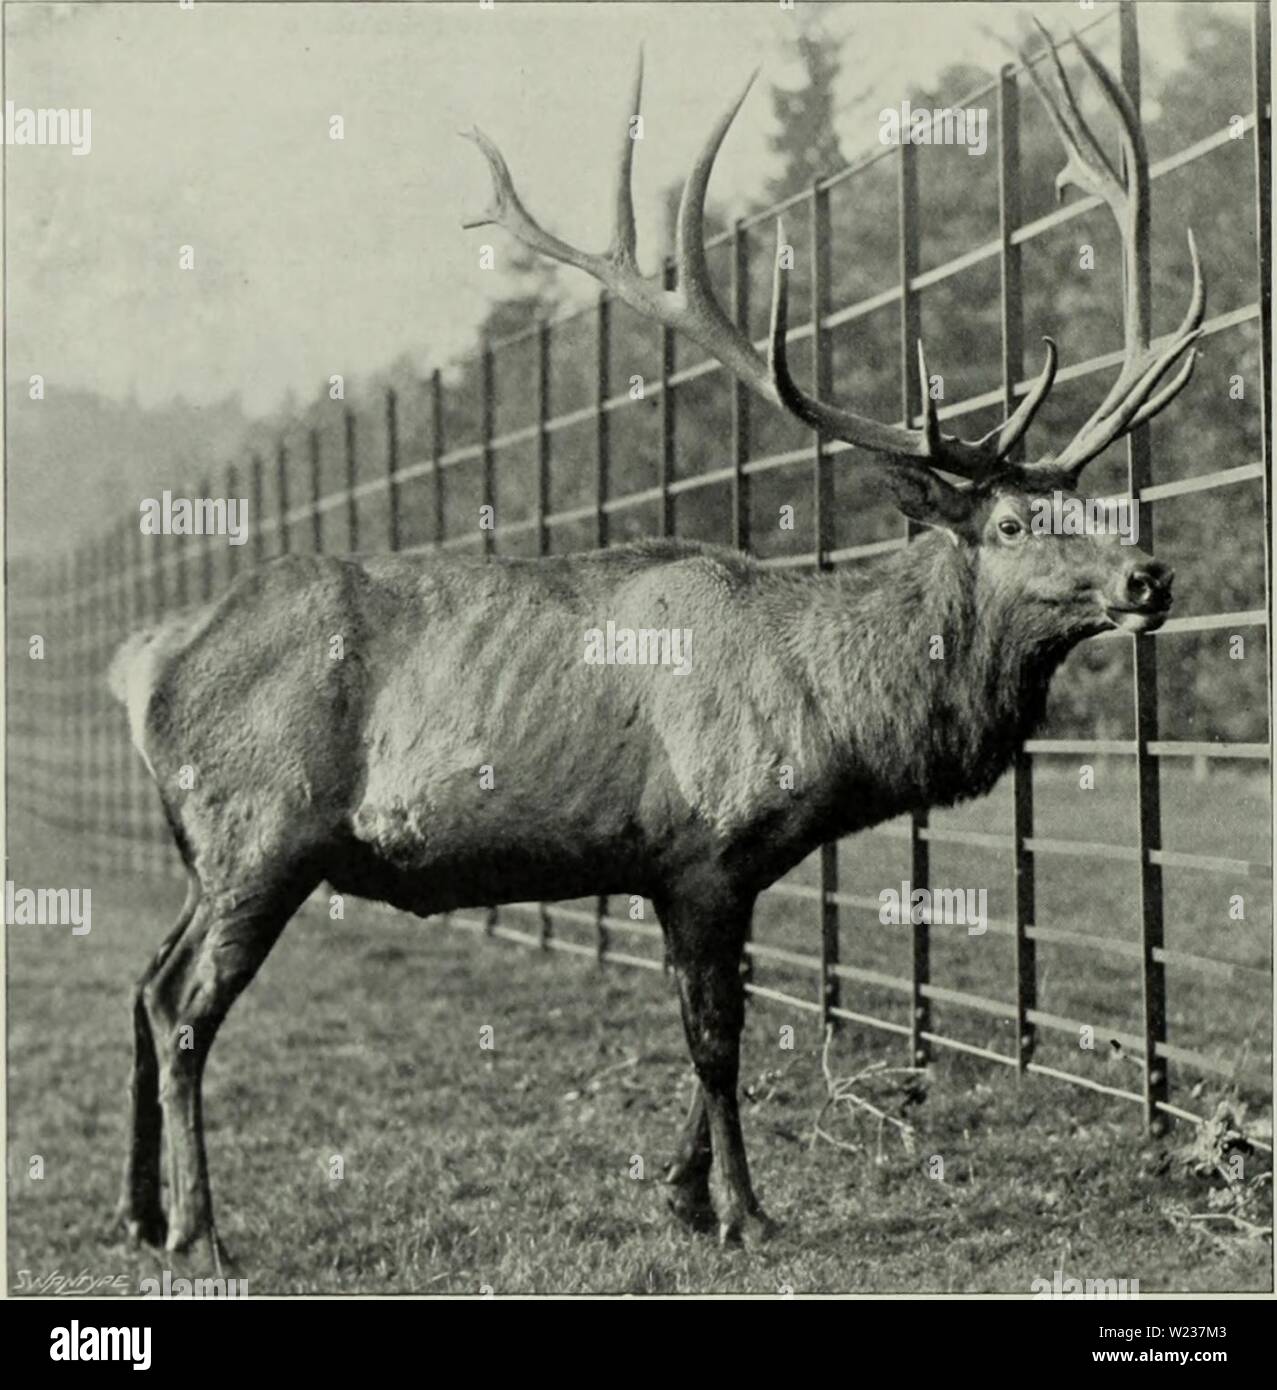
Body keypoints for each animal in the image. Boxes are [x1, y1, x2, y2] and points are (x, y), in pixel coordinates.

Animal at [107, 24, 1203, 1266]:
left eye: (1090, 499)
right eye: (1013, 522)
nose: (1147, 575)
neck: (838, 719)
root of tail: (143, 661)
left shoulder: (707, 873)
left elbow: (718, 1024)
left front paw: (681, 1191)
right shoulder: (701, 849)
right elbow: (717, 1039)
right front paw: (744, 1207)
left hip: (210, 850)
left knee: (141, 984)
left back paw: (138, 1209)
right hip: (260, 832)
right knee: (182, 1008)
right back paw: (201, 1231)